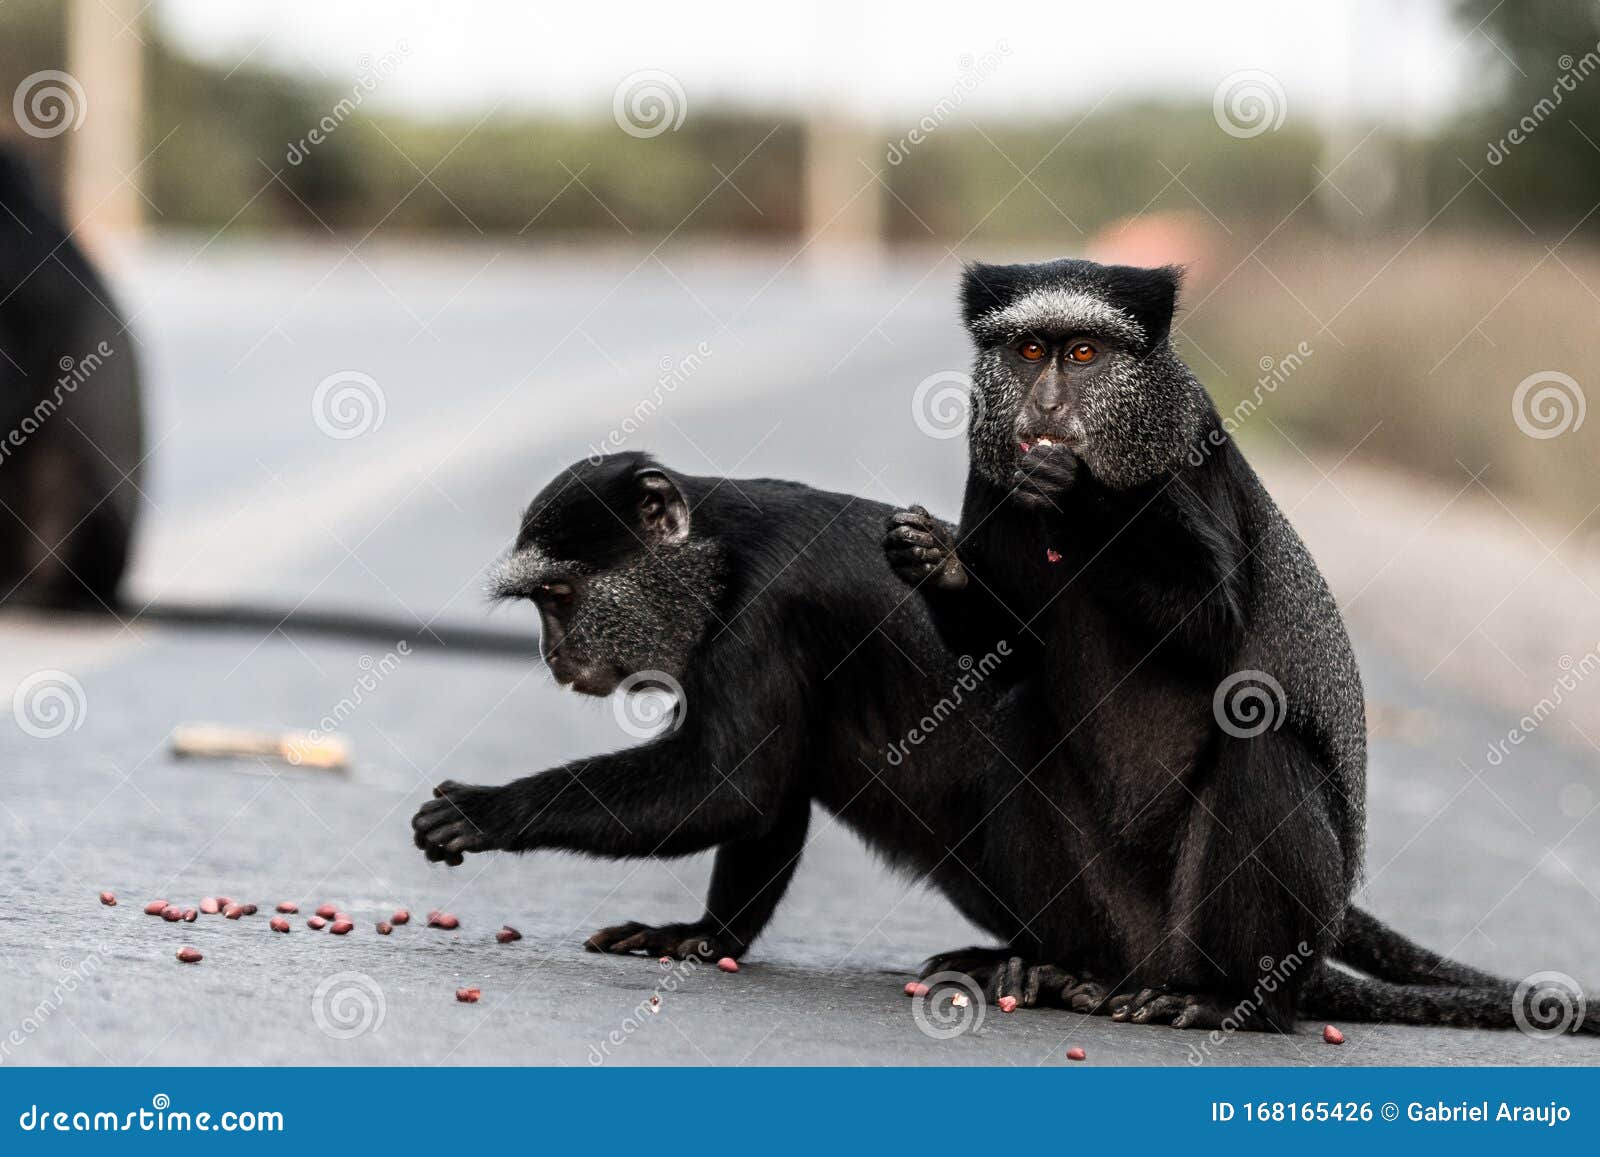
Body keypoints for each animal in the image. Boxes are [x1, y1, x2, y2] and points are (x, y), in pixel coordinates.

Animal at [883, 256, 1596, 1032]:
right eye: (1029, 350)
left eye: (1084, 354)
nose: (1044, 406)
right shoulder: (990, 476)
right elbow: (1004, 650)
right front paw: (937, 559)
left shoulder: (1190, 461)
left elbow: (1212, 623)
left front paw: (1071, 489)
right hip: (1113, 919)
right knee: (1022, 718)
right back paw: (1050, 966)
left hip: (1239, 927)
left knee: (1259, 733)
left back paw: (1227, 996)